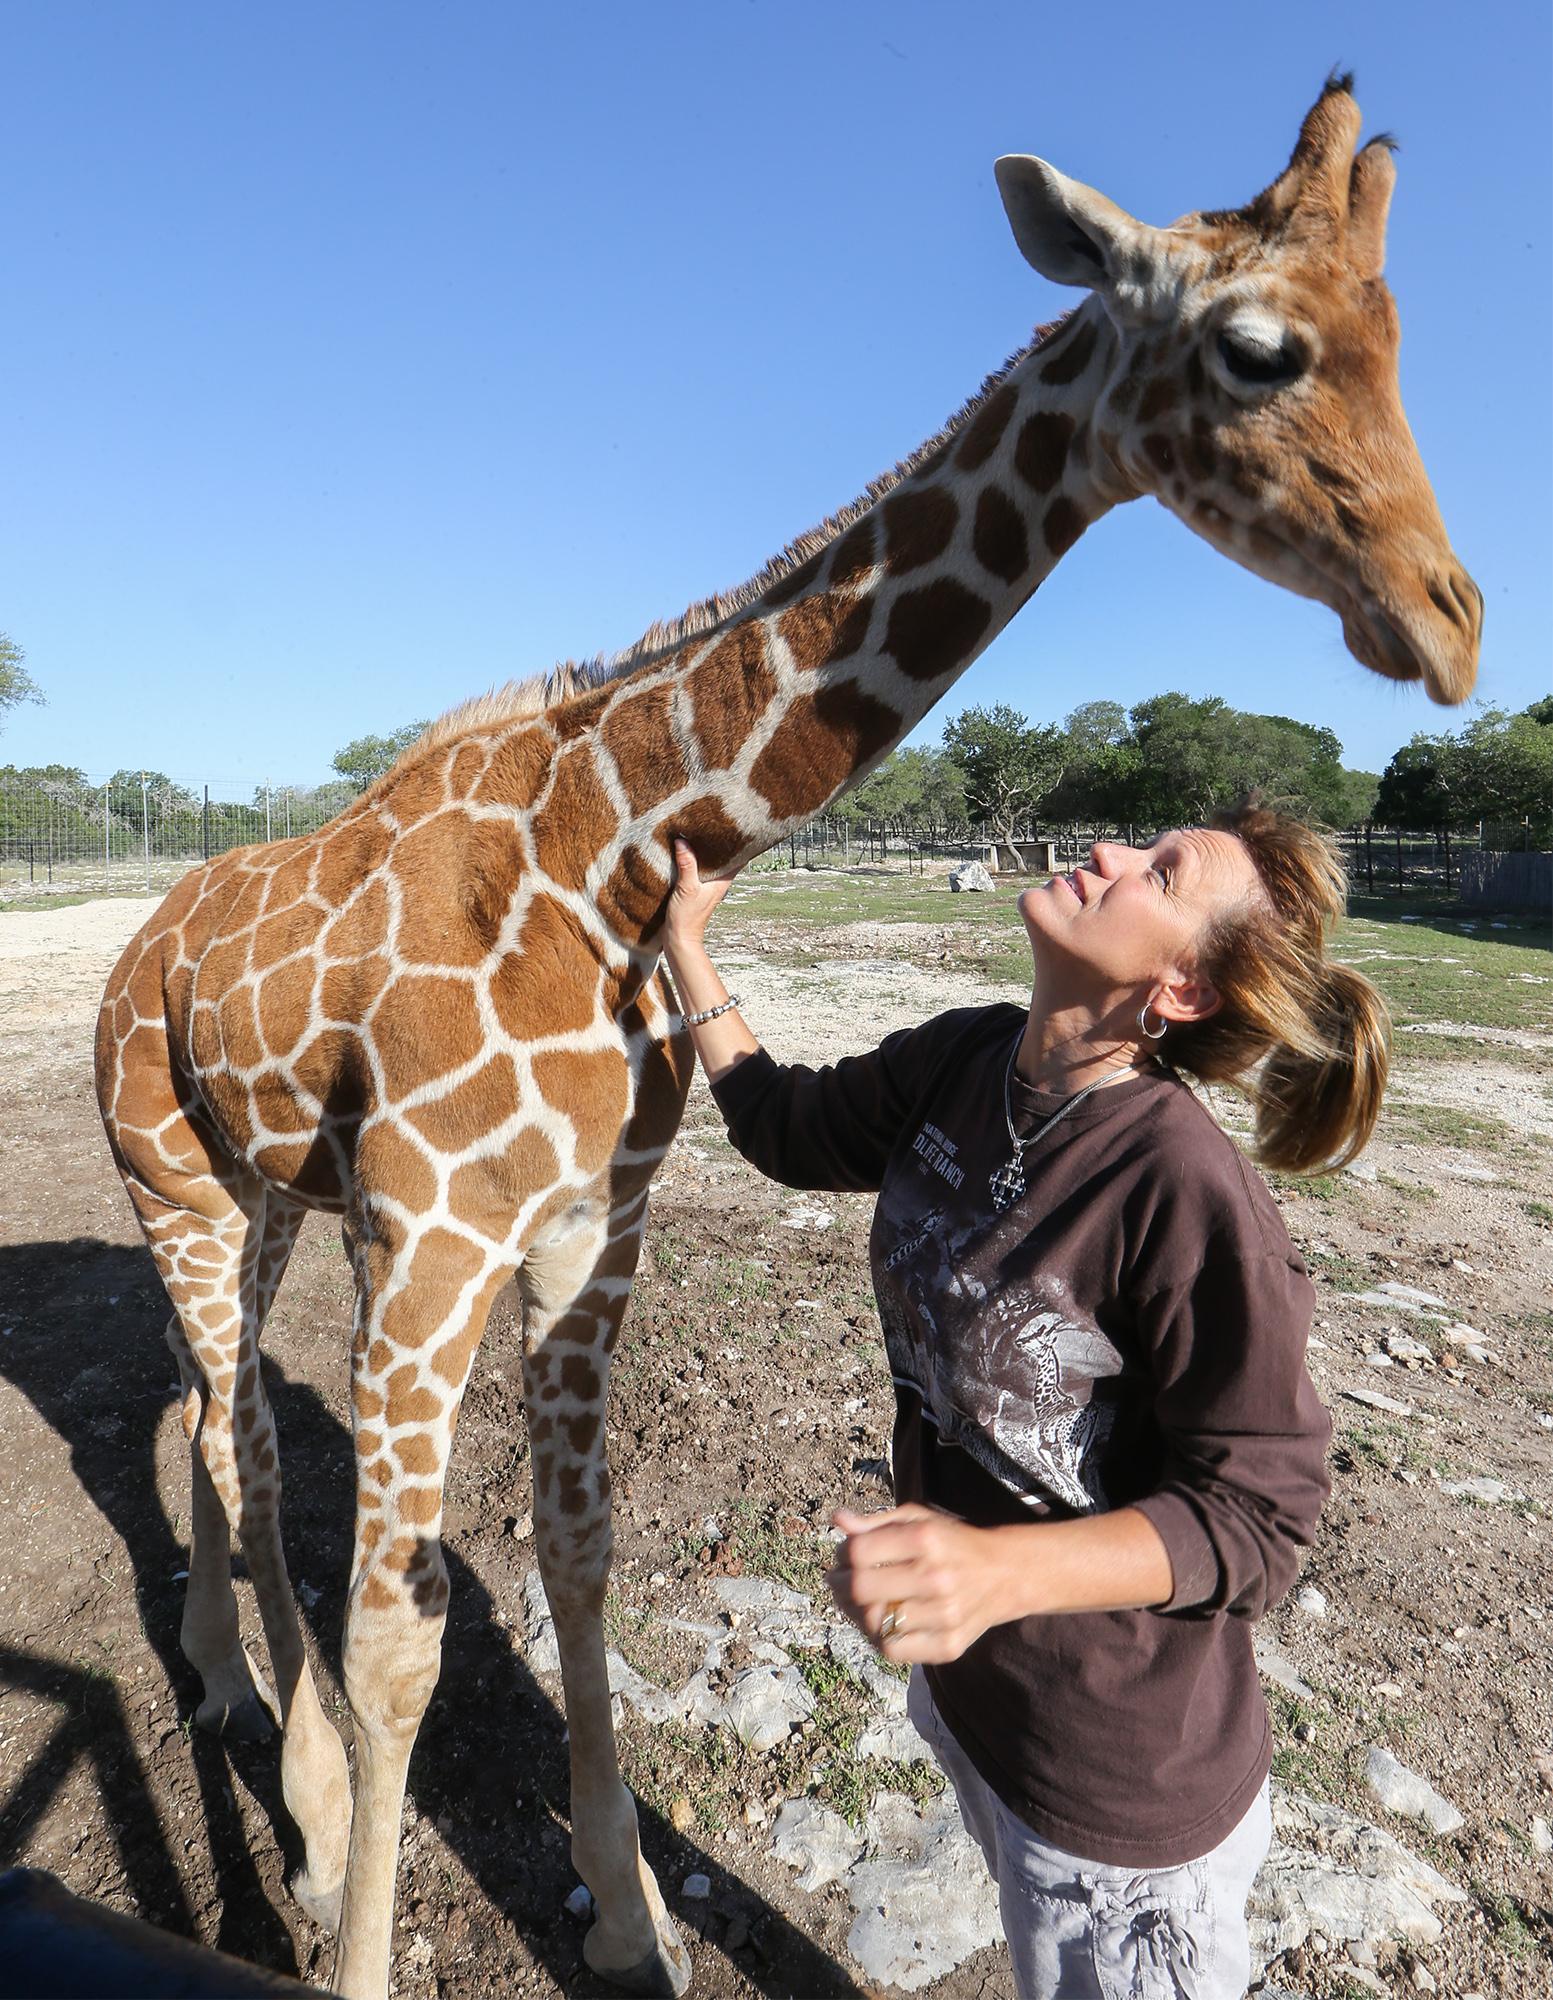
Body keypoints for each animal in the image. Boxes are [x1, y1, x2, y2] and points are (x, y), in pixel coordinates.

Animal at [95, 79, 1478, 2000]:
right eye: (1258, 346)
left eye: (1402, 340)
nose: (1449, 617)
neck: (607, 850)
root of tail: (129, 952)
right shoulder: (433, 1236)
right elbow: (400, 1642)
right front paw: (361, 1927)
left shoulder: (582, 1231)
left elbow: (576, 1558)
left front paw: (630, 1920)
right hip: (169, 1179)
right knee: (231, 1424)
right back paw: (276, 1773)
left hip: (268, 1194)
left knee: (217, 1410)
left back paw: (254, 1720)